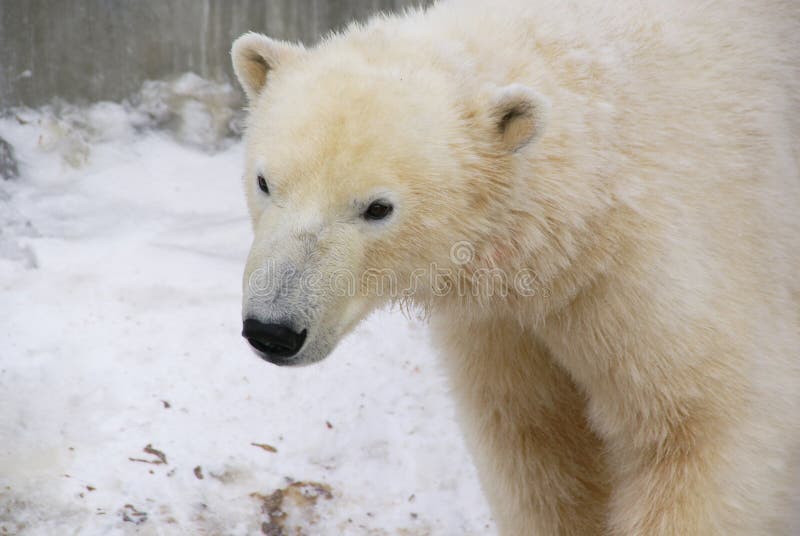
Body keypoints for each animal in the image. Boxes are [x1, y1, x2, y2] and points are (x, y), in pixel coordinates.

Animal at [231, 1, 800, 534]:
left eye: (377, 208)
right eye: (265, 182)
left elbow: (700, 428)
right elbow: (537, 448)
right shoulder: (505, 322)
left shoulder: (674, 259)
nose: (273, 331)